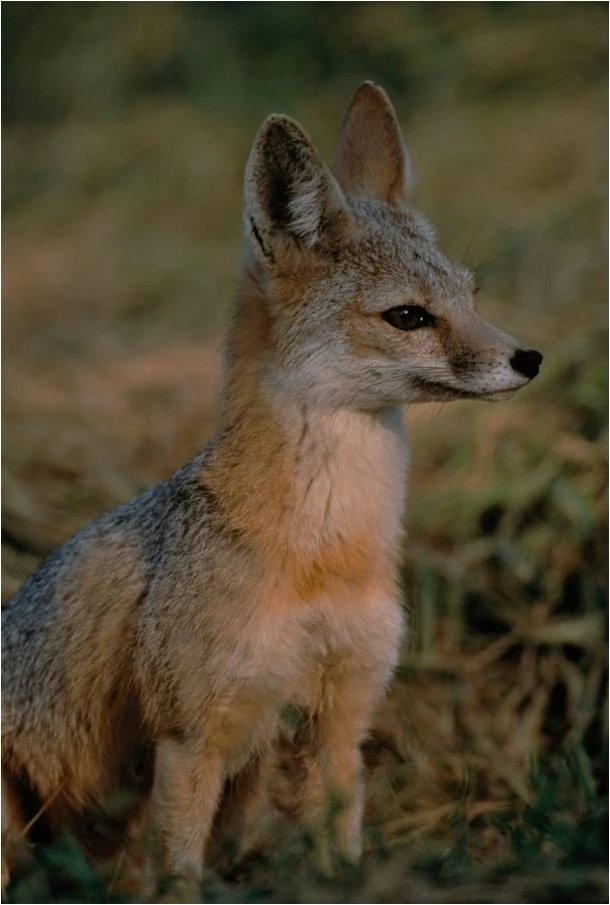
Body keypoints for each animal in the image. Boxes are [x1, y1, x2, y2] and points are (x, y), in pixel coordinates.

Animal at [2, 81, 542, 894]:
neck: (323, 552)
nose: (530, 358)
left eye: (473, 296)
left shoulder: (341, 719)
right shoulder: (192, 735)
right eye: (409, 316)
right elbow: (180, 878)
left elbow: (340, 850)